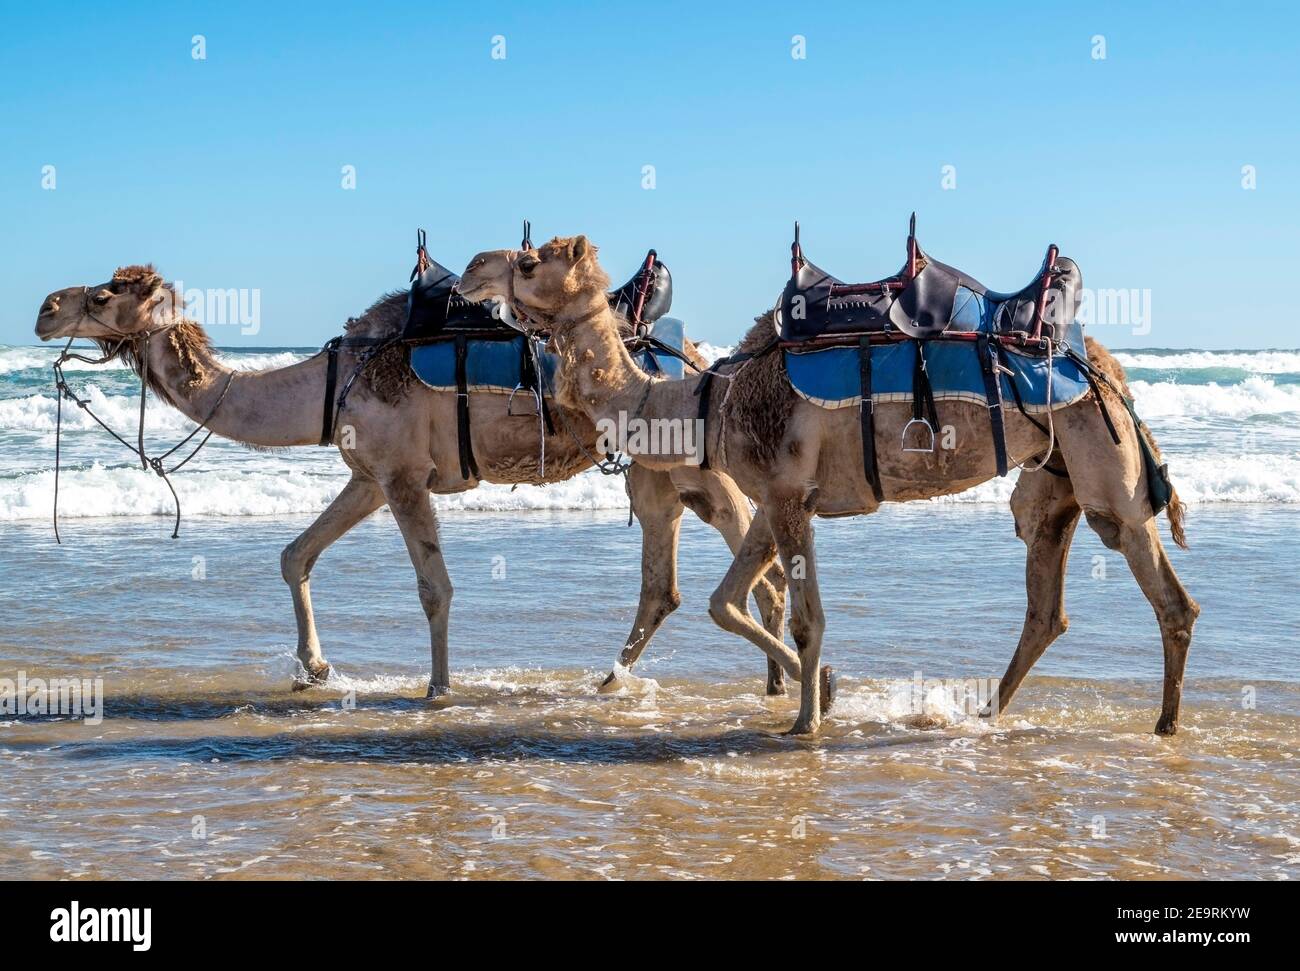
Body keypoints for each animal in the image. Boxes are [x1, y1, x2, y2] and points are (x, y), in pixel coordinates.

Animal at [35, 265, 788, 699]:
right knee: (679, 578)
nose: (44, 307)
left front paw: (437, 688)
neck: (335, 379)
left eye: (102, 294)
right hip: (657, 474)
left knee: (743, 554)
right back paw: (663, 680)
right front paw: (314, 670)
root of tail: (698, 354)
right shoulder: (369, 476)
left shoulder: (402, 476)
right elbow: (294, 554)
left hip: (687, 462)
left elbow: (434, 587)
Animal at [458, 236, 1200, 736]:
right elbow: (726, 601)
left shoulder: (787, 496)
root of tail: (1107, 367)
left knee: (1166, 592)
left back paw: (1164, 724)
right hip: (1054, 478)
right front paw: (826, 688)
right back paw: (986, 711)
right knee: (1047, 602)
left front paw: (805, 721)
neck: (704, 402)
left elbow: (802, 614)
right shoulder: (778, 498)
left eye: (529, 261)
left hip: (1103, 463)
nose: (471, 270)